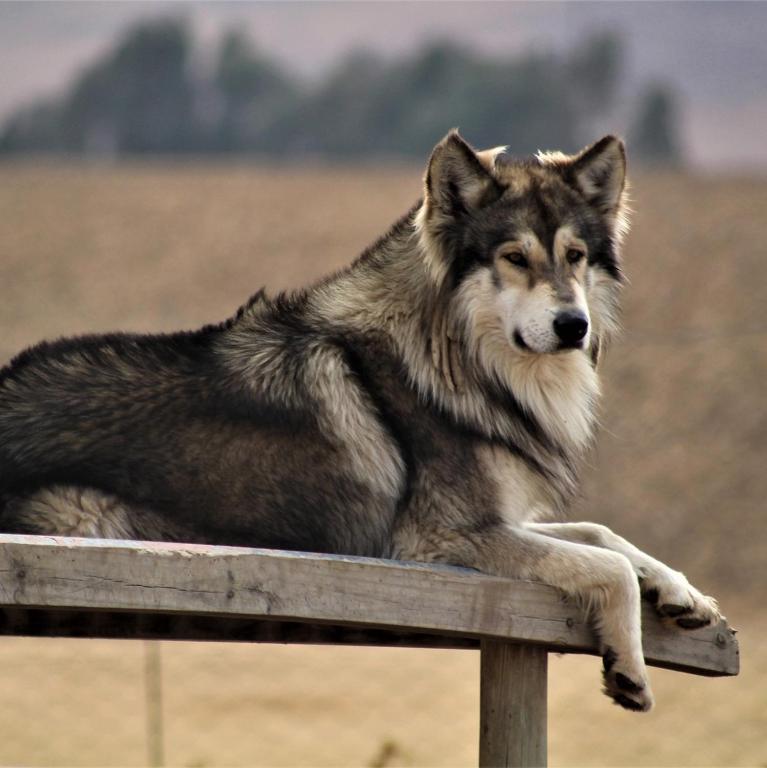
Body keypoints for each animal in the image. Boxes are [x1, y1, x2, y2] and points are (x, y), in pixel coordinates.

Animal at [0, 130, 720, 710]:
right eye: (514, 257)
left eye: (574, 256)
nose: (574, 326)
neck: (458, 360)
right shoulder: (441, 538)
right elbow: (607, 565)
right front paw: (629, 669)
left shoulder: (504, 518)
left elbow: (604, 536)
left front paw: (683, 595)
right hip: (86, 514)